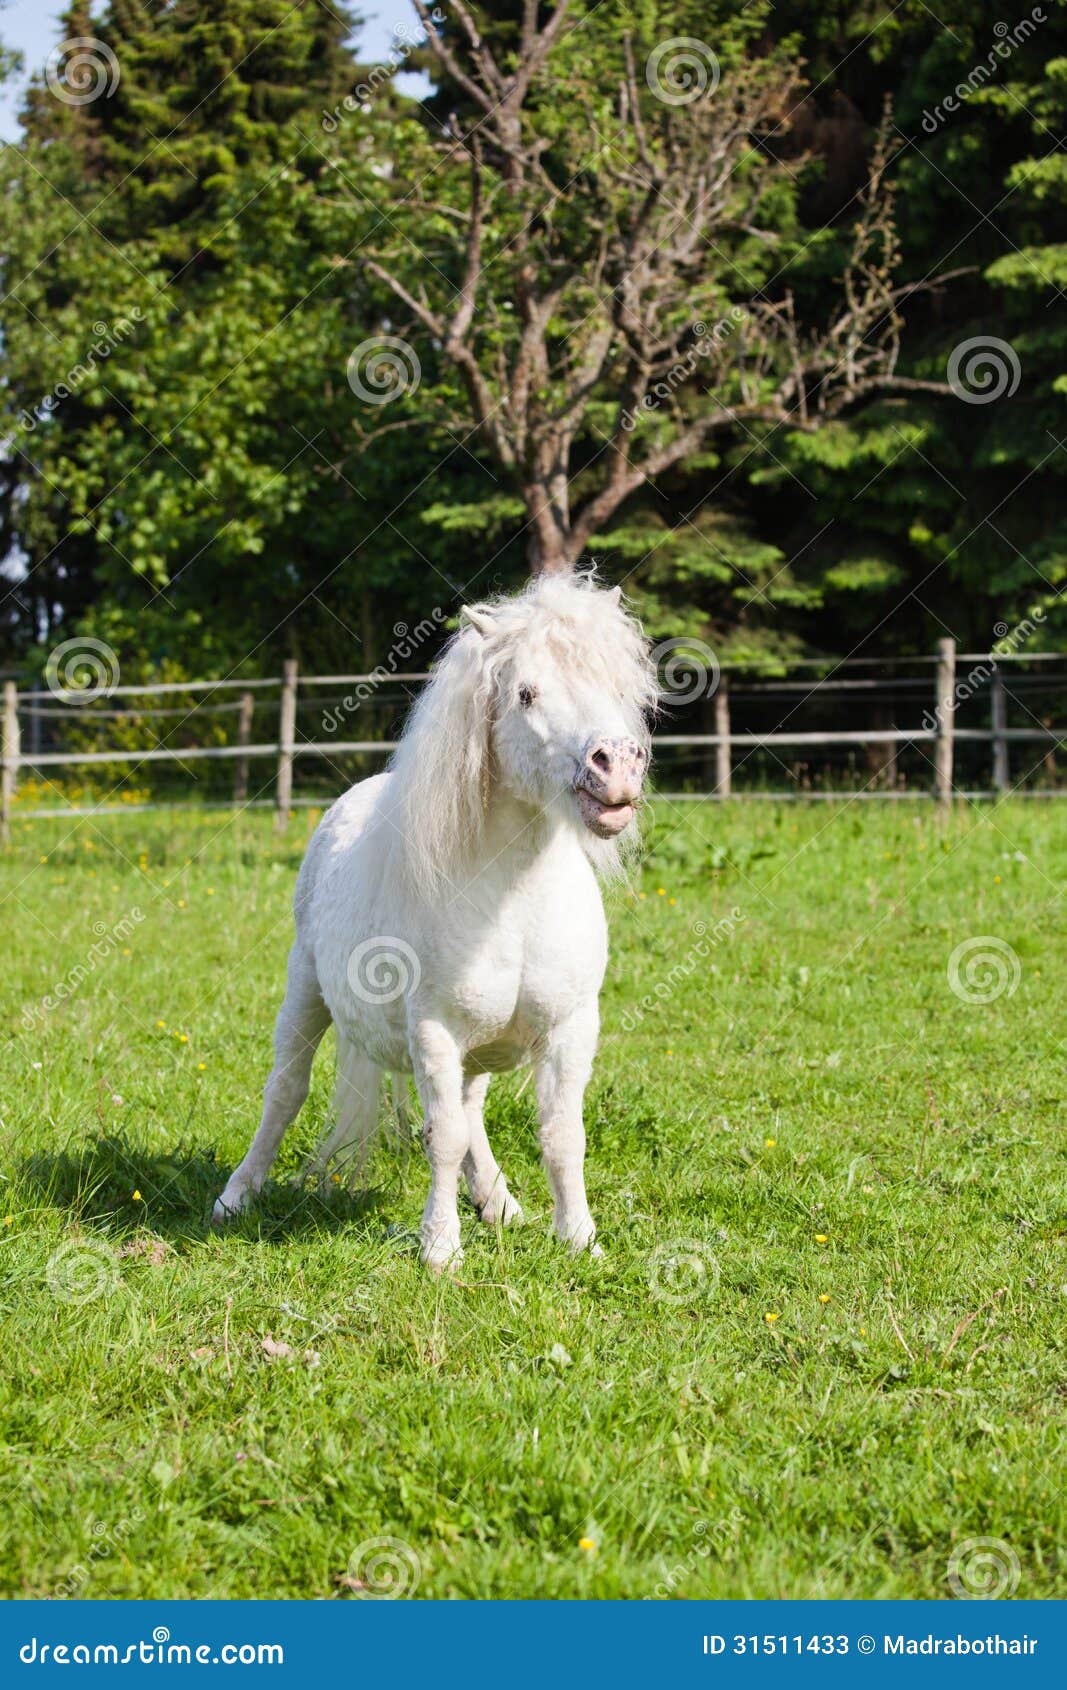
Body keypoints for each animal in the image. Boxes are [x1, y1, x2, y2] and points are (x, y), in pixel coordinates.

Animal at [213, 573, 657, 1268]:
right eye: (526, 692)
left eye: (620, 686)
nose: (616, 765)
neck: (514, 900)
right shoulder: (435, 1031)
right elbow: (442, 1137)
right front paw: (441, 1248)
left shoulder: (570, 1028)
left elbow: (562, 1135)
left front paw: (579, 1239)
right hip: (306, 992)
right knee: (285, 1091)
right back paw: (237, 1196)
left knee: (472, 1112)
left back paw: (499, 1203)